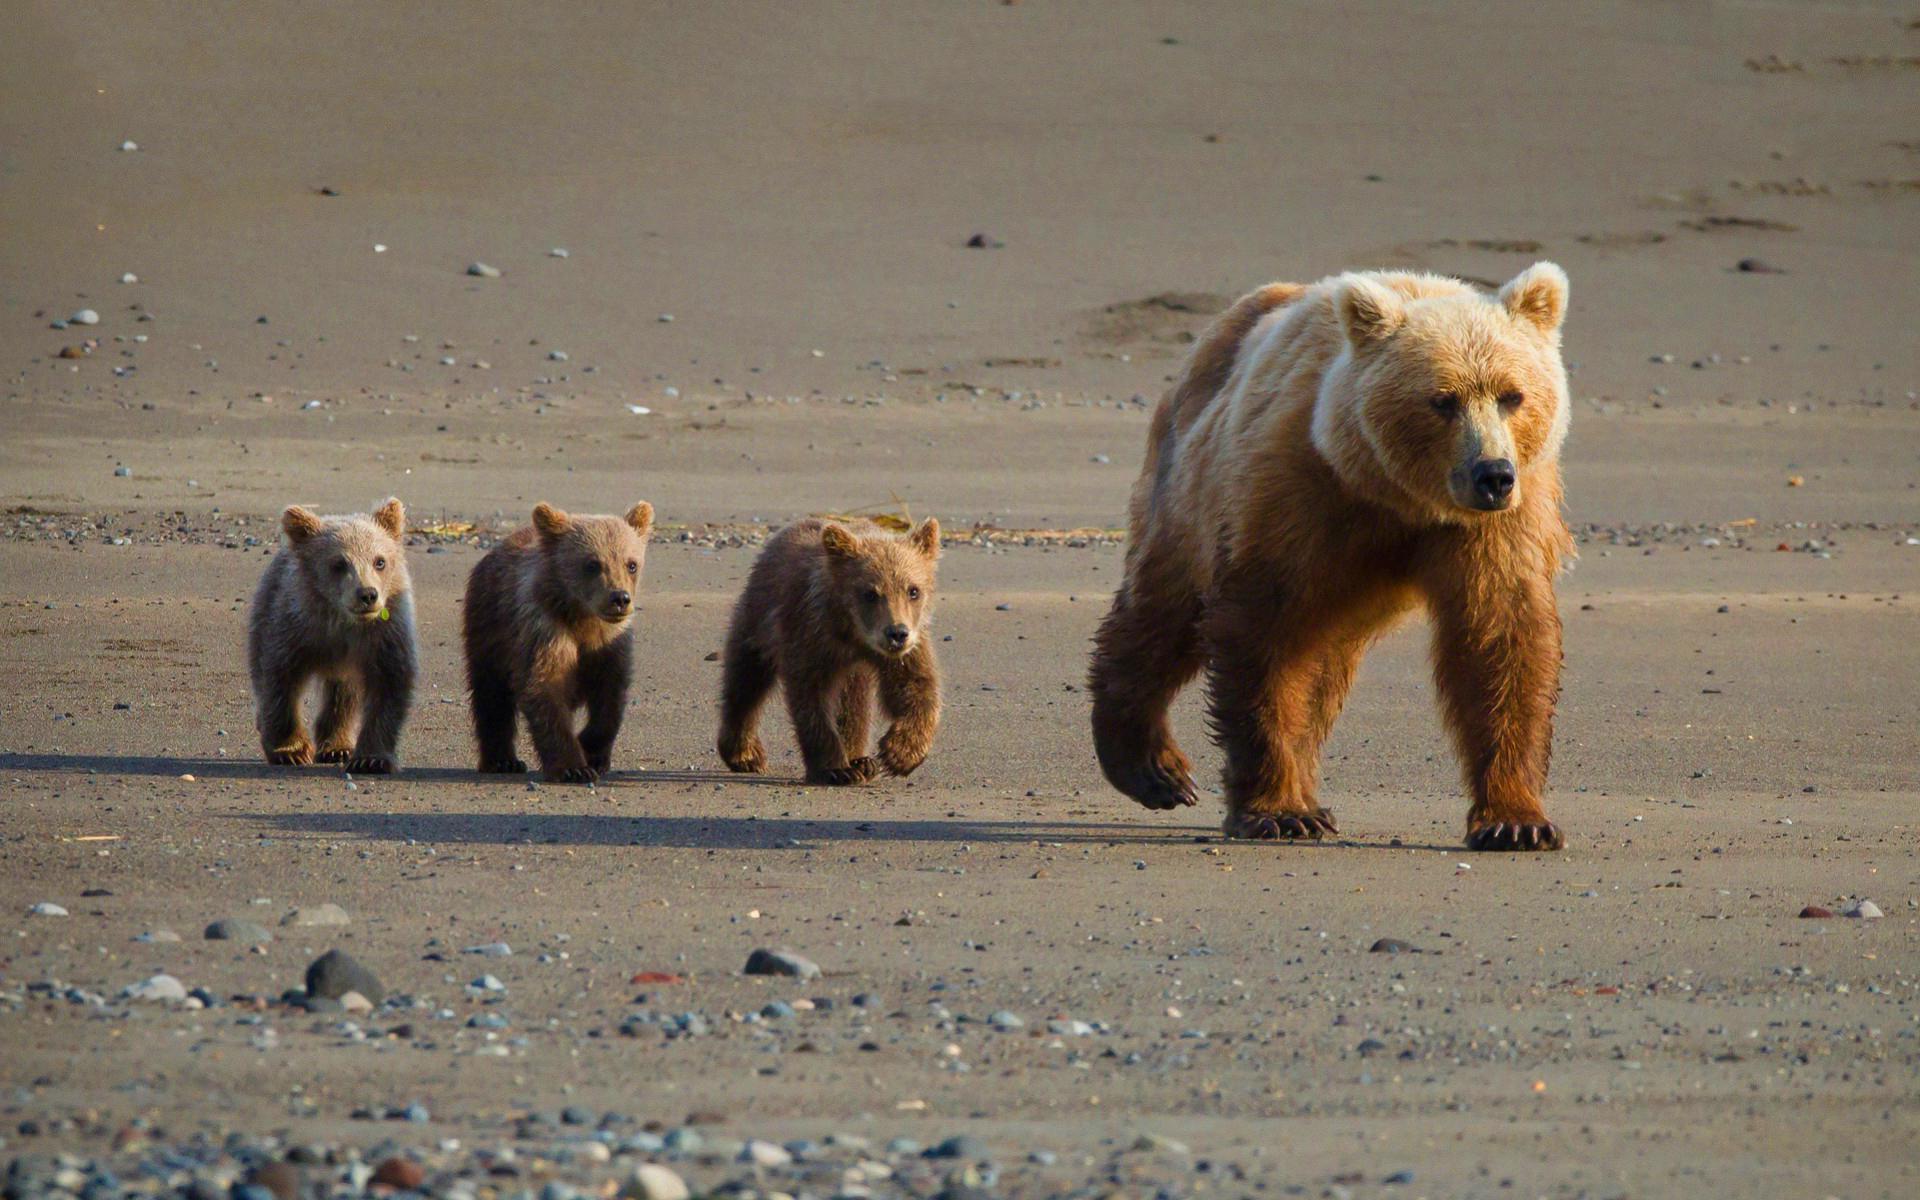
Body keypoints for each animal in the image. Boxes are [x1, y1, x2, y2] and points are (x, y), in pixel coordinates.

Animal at [248, 498, 419, 774]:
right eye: (339, 564)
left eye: (380, 561)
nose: (367, 594)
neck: (342, 621)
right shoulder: (295, 628)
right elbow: (280, 679)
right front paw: (291, 751)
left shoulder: (384, 636)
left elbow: (389, 684)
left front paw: (371, 758)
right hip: (264, 610)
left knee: (344, 695)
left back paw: (337, 747)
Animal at [462, 501, 654, 783]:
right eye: (592, 564)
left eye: (631, 564)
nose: (619, 598)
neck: (584, 619)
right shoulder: (545, 630)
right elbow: (545, 686)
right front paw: (574, 767)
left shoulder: (611, 644)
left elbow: (611, 696)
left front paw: (592, 752)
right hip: (489, 628)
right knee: (491, 695)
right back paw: (502, 760)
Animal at [717, 517, 943, 785]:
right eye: (870, 593)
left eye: (913, 590)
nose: (897, 633)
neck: (853, 633)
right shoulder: (810, 634)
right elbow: (812, 698)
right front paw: (835, 768)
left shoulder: (908, 647)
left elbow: (914, 686)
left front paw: (900, 753)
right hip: (758, 618)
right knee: (746, 680)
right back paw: (745, 754)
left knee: (853, 700)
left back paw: (860, 761)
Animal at [1087, 263, 1575, 851]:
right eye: (1443, 400)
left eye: (1512, 395)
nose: (1493, 475)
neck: (1396, 494)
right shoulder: (1297, 493)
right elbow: (1266, 636)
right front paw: (1279, 811)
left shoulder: (1497, 525)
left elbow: (1499, 636)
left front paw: (1516, 820)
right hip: (1189, 483)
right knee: (1165, 613)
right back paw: (1154, 767)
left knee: (1320, 668)